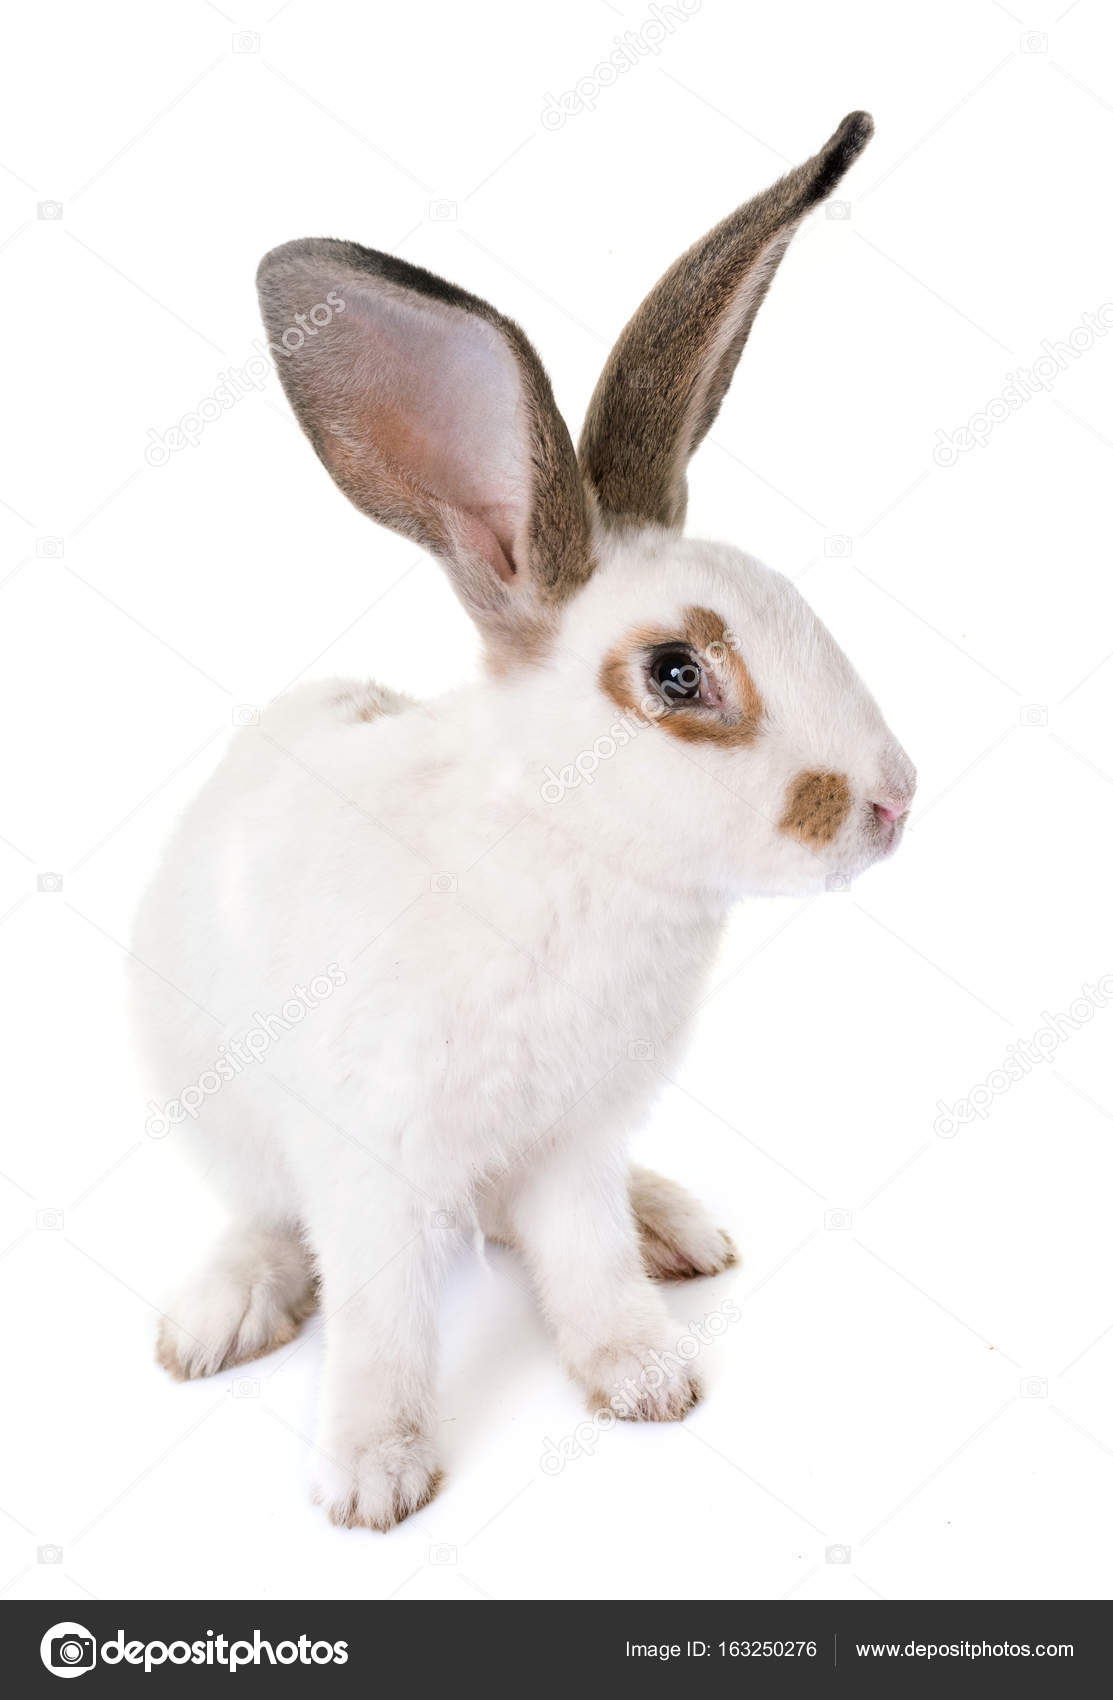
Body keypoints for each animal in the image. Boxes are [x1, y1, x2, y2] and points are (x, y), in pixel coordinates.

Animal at [133, 110, 915, 1531]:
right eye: (676, 673)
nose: (894, 799)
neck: (569, 855)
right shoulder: (372, 1159)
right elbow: (382, 1316)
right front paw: (373, 1475)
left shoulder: (576, 1141)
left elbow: (586, 1259)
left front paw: (648, 1377)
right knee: (269, 1217)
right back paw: (221, 1313)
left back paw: (676, 1229)